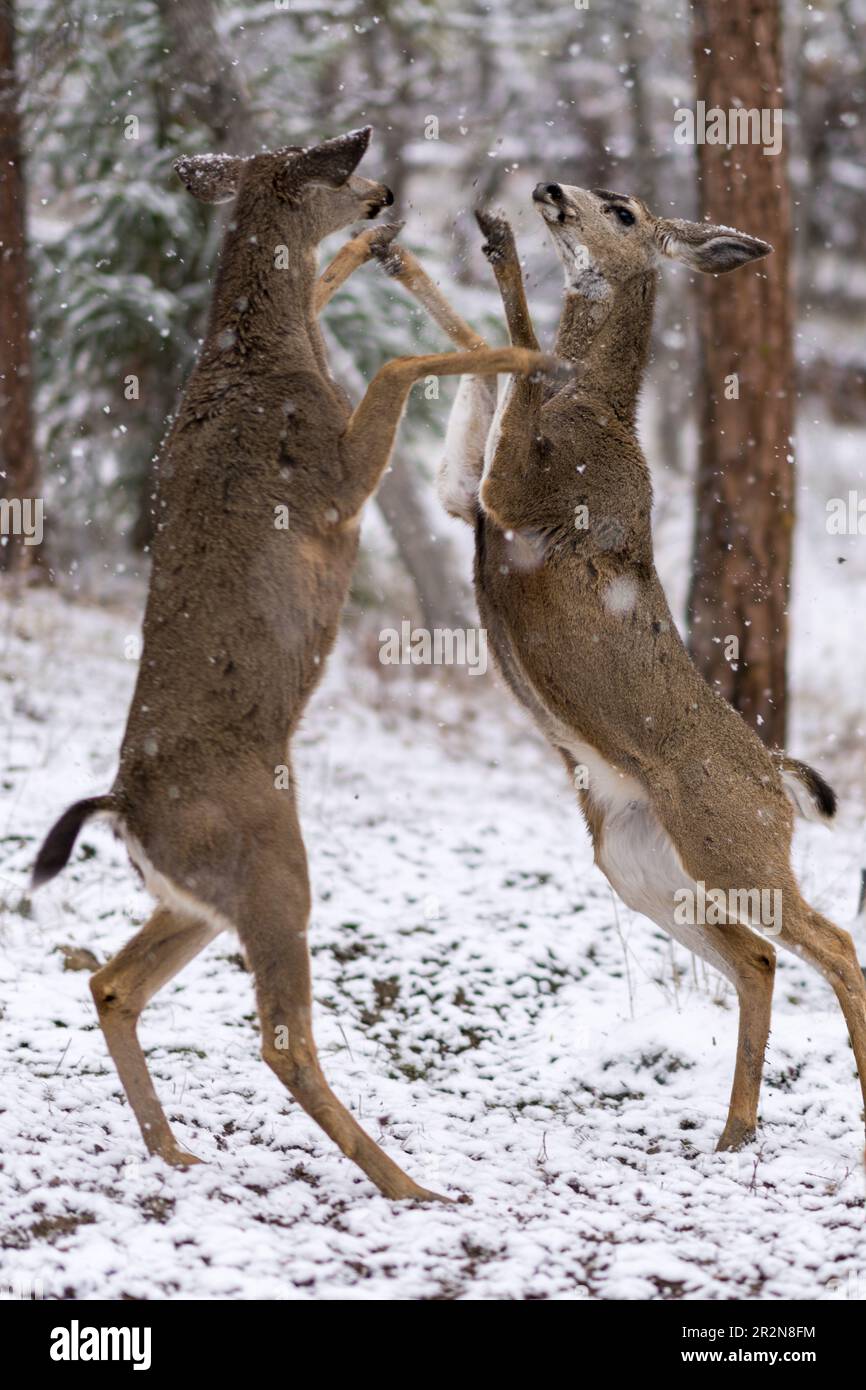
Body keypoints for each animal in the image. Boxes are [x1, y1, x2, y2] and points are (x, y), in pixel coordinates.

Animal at [30, 127, 568, 1202]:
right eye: (336, 167)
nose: (387, 192)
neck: (258, 362)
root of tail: (125, 806)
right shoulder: (330, 485)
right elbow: (398, 362)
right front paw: (532, 350)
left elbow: (328, 300)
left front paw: (371, 256)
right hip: (278, 868)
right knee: (278, 1038)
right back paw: (407, 1183)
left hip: (195, 899)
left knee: (111, 983)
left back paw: (173, 1149)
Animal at [368, 183, 866, 1155]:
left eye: (626, 211)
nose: (549, 191)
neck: (597, 408)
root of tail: (775, 775)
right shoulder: (467, 498)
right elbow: (486, 373)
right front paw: (400, 253)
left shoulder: (521, 503)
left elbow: (516, 362)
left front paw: (498, 249)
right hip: (641, 865)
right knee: (758, 960)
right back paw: (734, 1130)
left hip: (731, 843)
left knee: (835, 948)